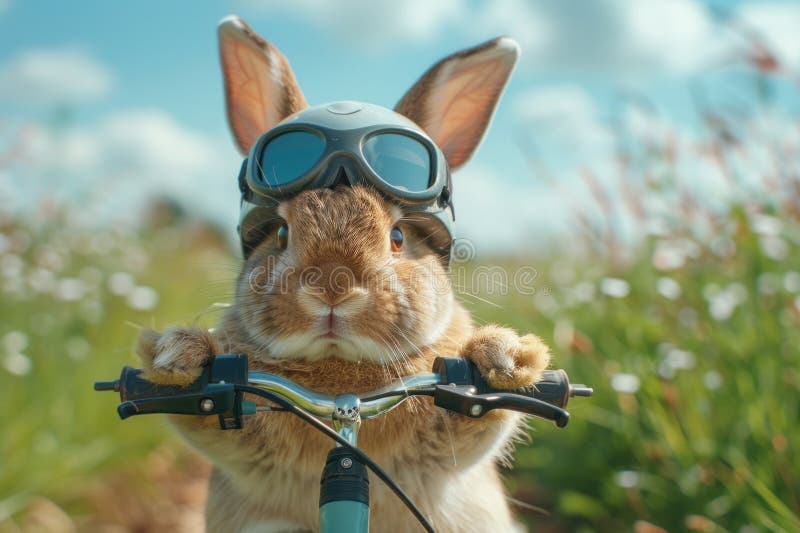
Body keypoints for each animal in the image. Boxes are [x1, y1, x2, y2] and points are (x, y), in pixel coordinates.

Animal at [135, 15, 551, 533]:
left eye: (398, 236)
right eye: (282, 233)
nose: (332, 287)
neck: (341, 385)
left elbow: (476, 415)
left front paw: (505, 358)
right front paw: (177, 356)